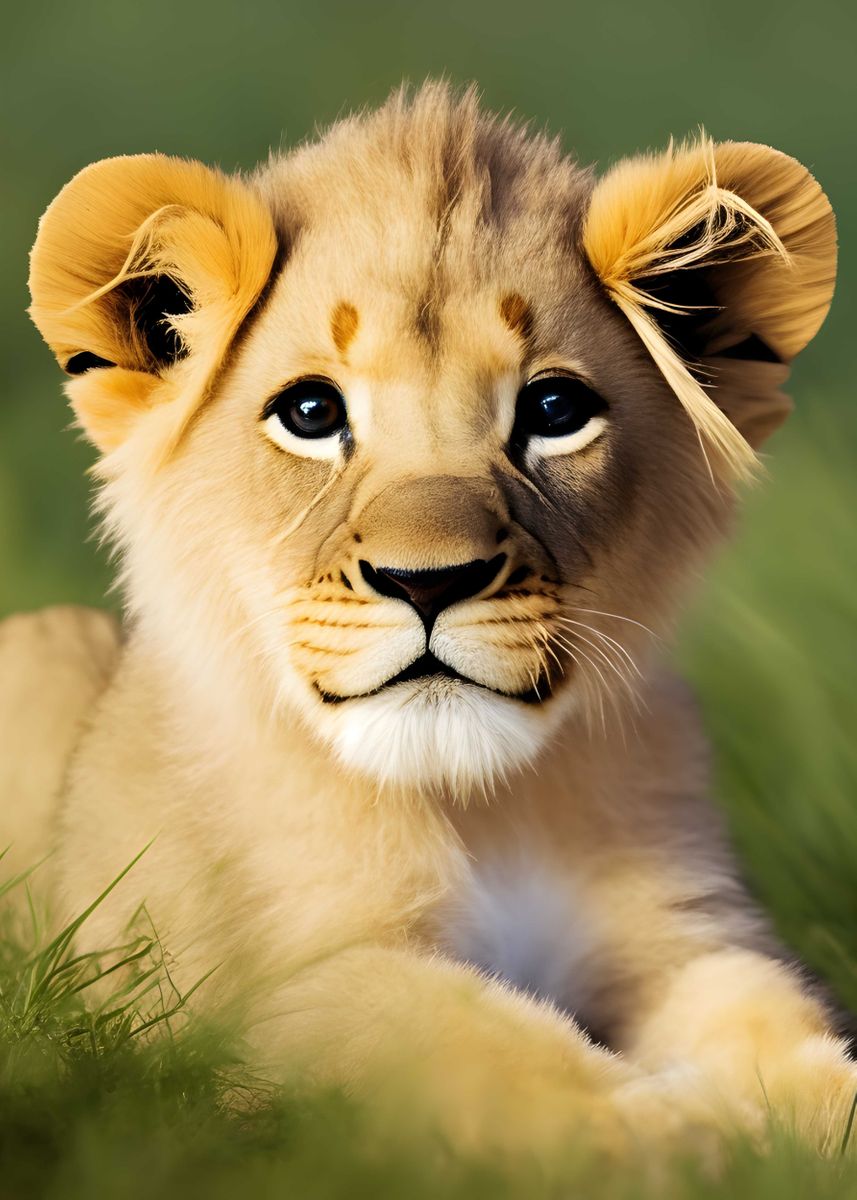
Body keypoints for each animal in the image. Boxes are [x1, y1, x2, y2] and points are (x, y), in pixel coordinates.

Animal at [2, 81, 852, 1157]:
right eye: (311, 414)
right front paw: (688, 1133)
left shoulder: (678, 932)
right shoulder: (237, 995)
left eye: (554, 409)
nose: (427, 583)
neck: (479, 802)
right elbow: (484, 1046)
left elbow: (762, 1006)